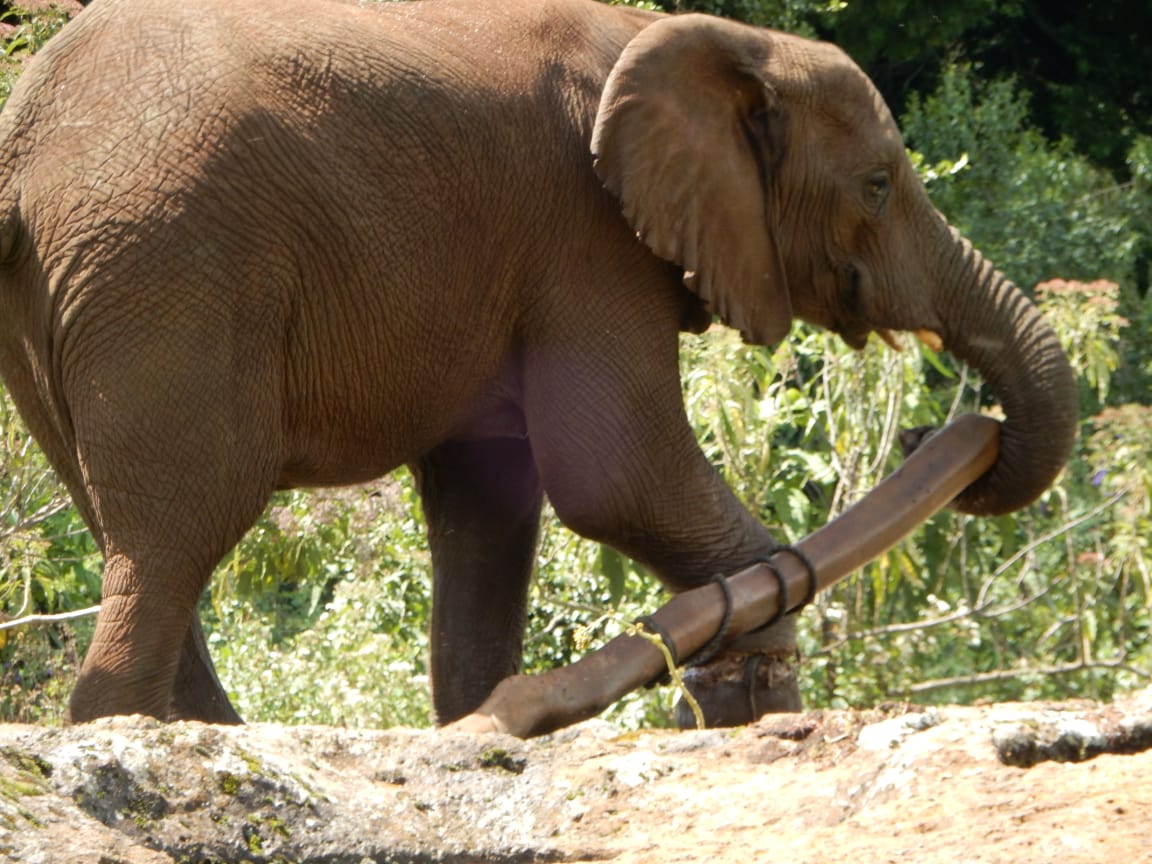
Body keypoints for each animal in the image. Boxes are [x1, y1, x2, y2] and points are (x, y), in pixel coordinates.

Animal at [0, 0, 1077, 728]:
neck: (703, 36)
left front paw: (484, 725)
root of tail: (22, 153)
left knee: (139, 537)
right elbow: (616, 480)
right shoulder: (587, 238)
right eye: (879, 184)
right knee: (180, 532)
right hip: (171, 270)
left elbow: (488, 505)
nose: (963, 434)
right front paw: (750, 659)